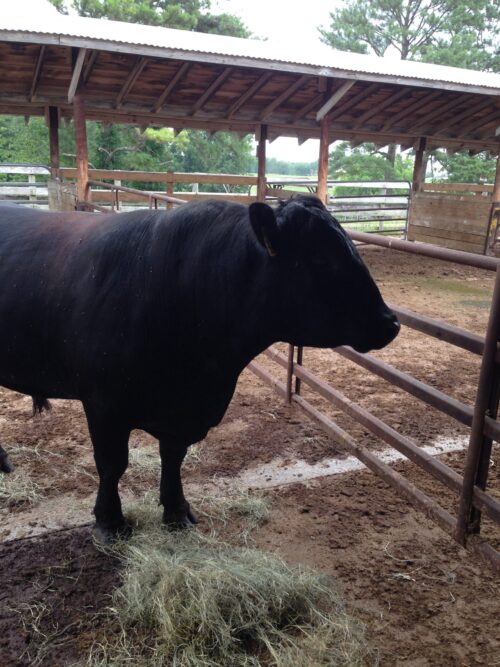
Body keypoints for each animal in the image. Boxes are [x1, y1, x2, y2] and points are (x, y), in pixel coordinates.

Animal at [0, 196, 399, 541]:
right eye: (323, 259)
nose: (391, 321)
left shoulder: (185, 409)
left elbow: (173, 457)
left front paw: (177, 511)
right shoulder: (103, 404)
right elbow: (112, 464)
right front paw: (110, 522)